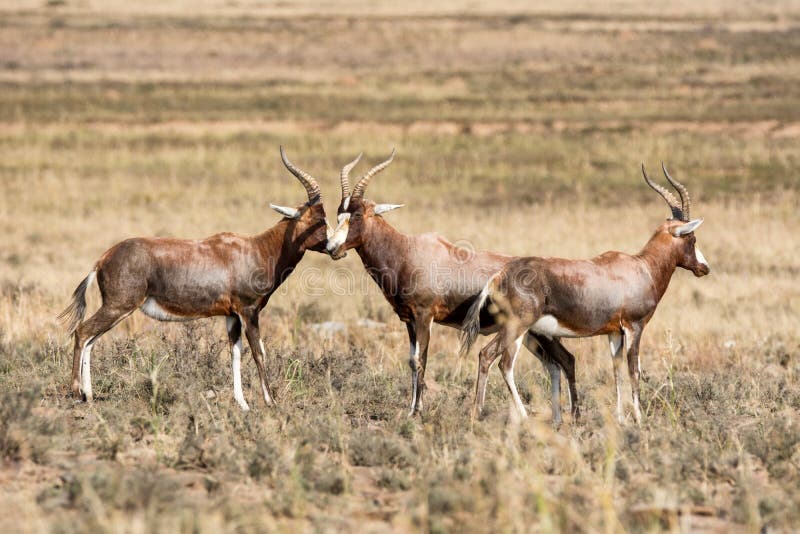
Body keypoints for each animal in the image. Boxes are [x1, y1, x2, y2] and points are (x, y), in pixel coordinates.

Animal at [58, 148, 332, 411]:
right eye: (319, 220)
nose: (333, 247)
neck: (256, 247)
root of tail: (103, 258)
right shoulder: (249, 311)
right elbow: (258, 352)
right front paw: (270, 402)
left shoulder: (232, 315)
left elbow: (235, 353)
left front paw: (242, 404)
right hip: (118, 306)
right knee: (82, 332)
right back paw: (77, 392)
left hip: (118, 309)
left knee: (91, 340)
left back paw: (89, 395)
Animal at [325, 150, 579, 423]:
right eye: (339, 214)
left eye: (357, 214)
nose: (332, 248)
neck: (408, 250)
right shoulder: (409, 320)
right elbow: (412, 360)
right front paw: (412, 409)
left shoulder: (424, 316)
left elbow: (421, 360)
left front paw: (417, 411)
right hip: (532, 333)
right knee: (557, 362)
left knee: (560, 361)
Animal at [461, 164, 710, 423]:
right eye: (692, 238)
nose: (704, 268)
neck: (640, 266)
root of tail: (500, 275)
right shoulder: (635, 327)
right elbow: (634, 370)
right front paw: (639, 419)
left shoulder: (614, 332)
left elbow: (617, 370)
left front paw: (621, 419)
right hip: (517, 326)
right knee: (494, 358)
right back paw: (492, 415)